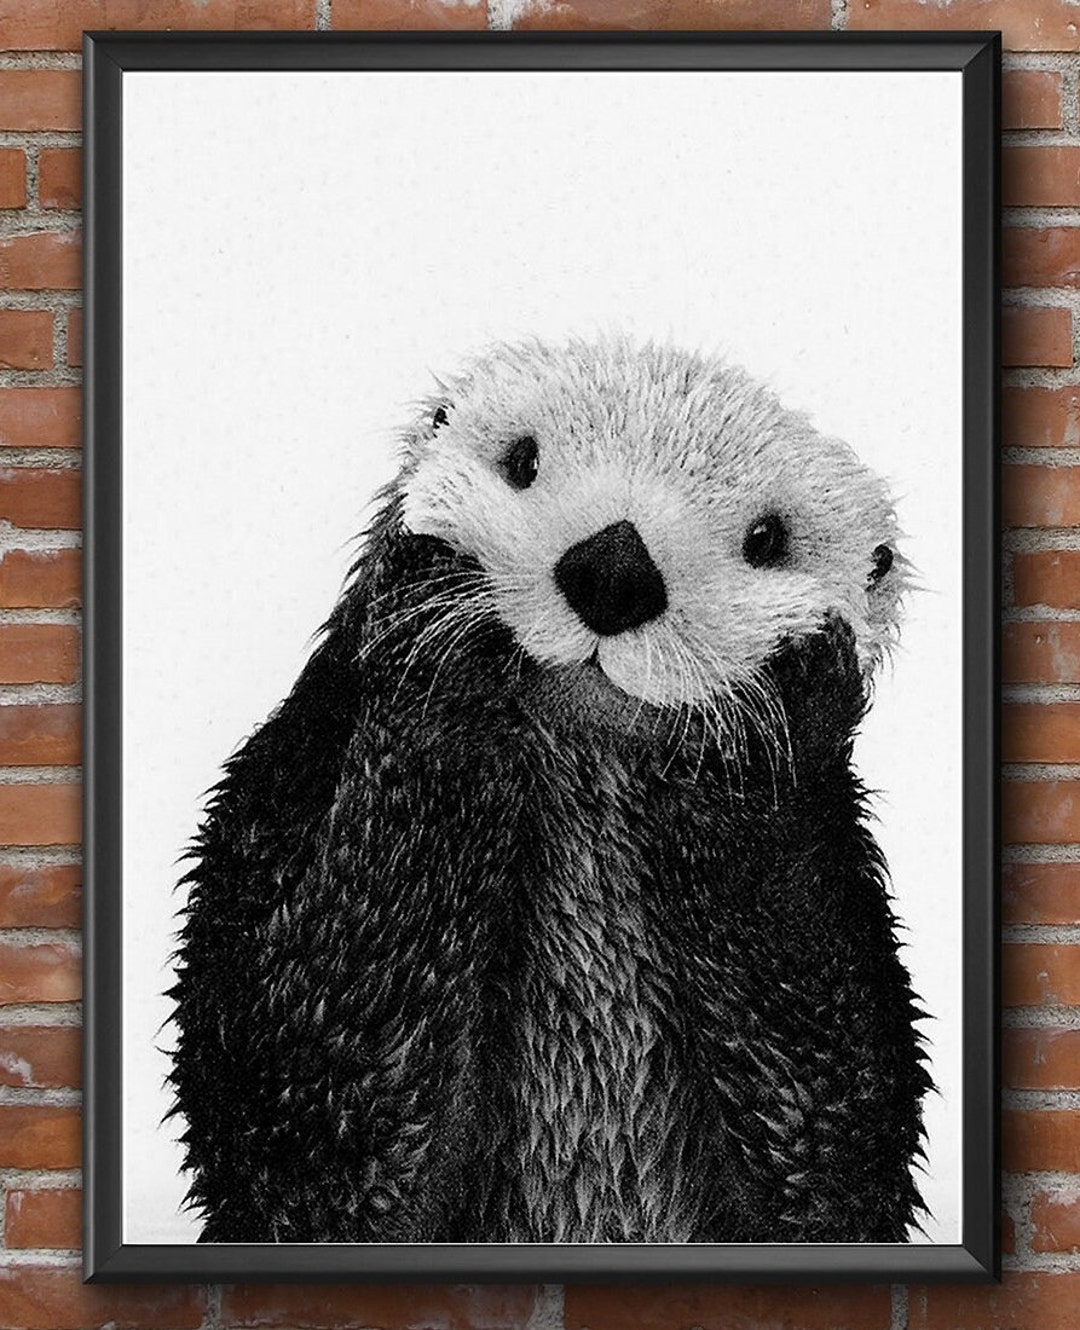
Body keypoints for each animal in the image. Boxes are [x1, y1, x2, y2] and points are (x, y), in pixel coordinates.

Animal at [169, 336, 930, 1245]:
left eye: (768, 539)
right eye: (522, 461)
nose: (615, 569)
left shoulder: (842, 918)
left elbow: (827, 1137)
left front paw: (770, 706)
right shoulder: (285, 795)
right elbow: (310, 1117)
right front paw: (437, 608)